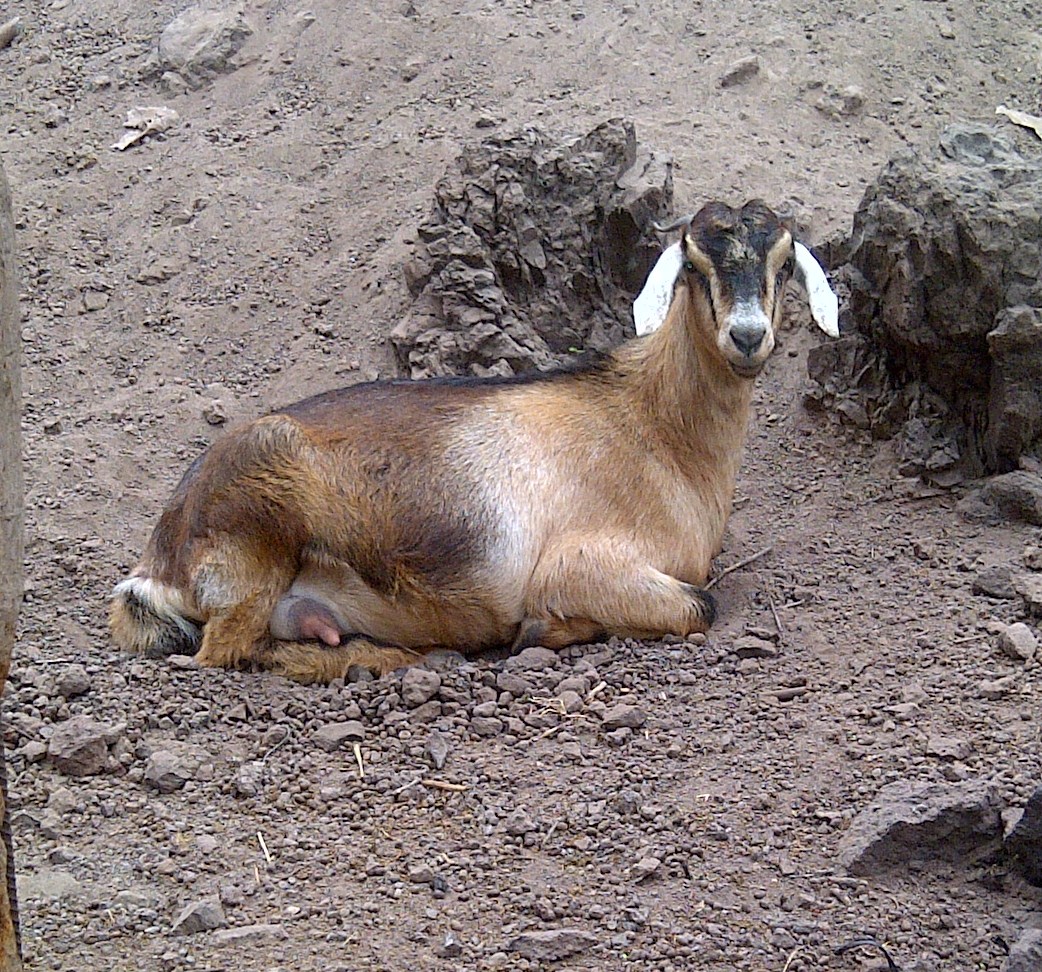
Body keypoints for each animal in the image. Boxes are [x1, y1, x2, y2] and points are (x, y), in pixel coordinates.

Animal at [109, 199, 838, 684]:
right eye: (694, 261)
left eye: (782, 263)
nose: (747, 336)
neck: (649, 427)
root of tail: (160, 558)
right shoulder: (583, 563)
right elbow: (701, 605)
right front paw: (539, 629)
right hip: (257, 544)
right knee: (220, 654)